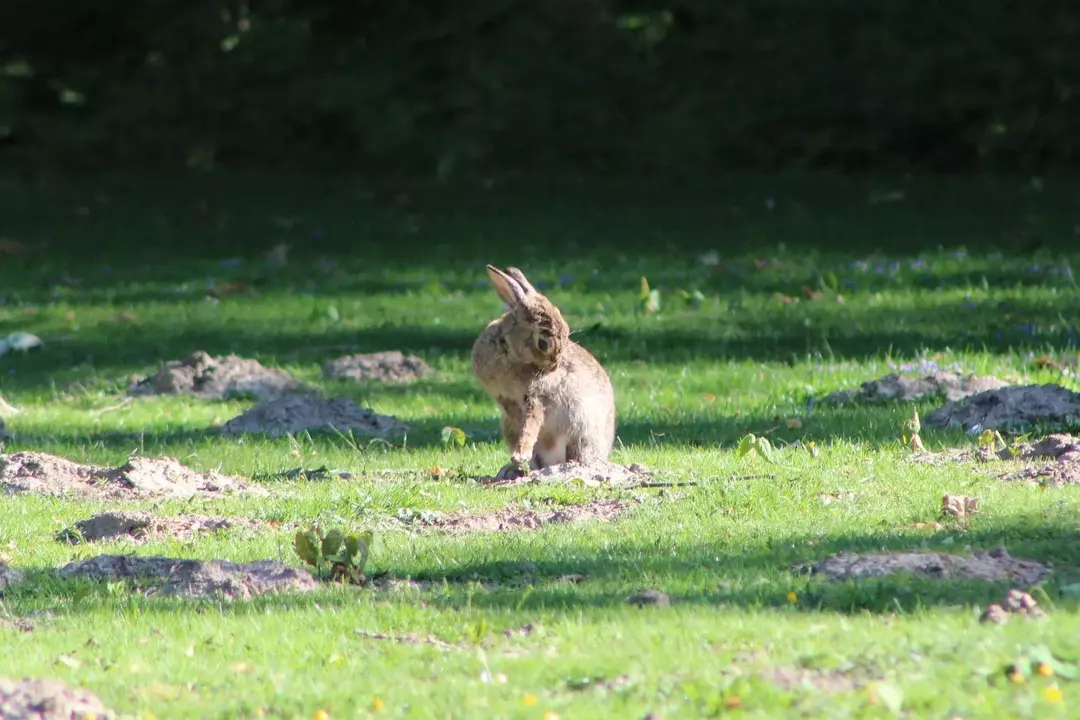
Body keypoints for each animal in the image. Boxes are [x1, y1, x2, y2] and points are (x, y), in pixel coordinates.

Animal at [473, 264, 617, 479]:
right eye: (543, 344)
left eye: (566, 330)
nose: (556, 365)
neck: (508, 350)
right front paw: (518, 460)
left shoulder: (536, 398)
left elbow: (530, 426)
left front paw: (519, 455)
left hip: (582, 427)